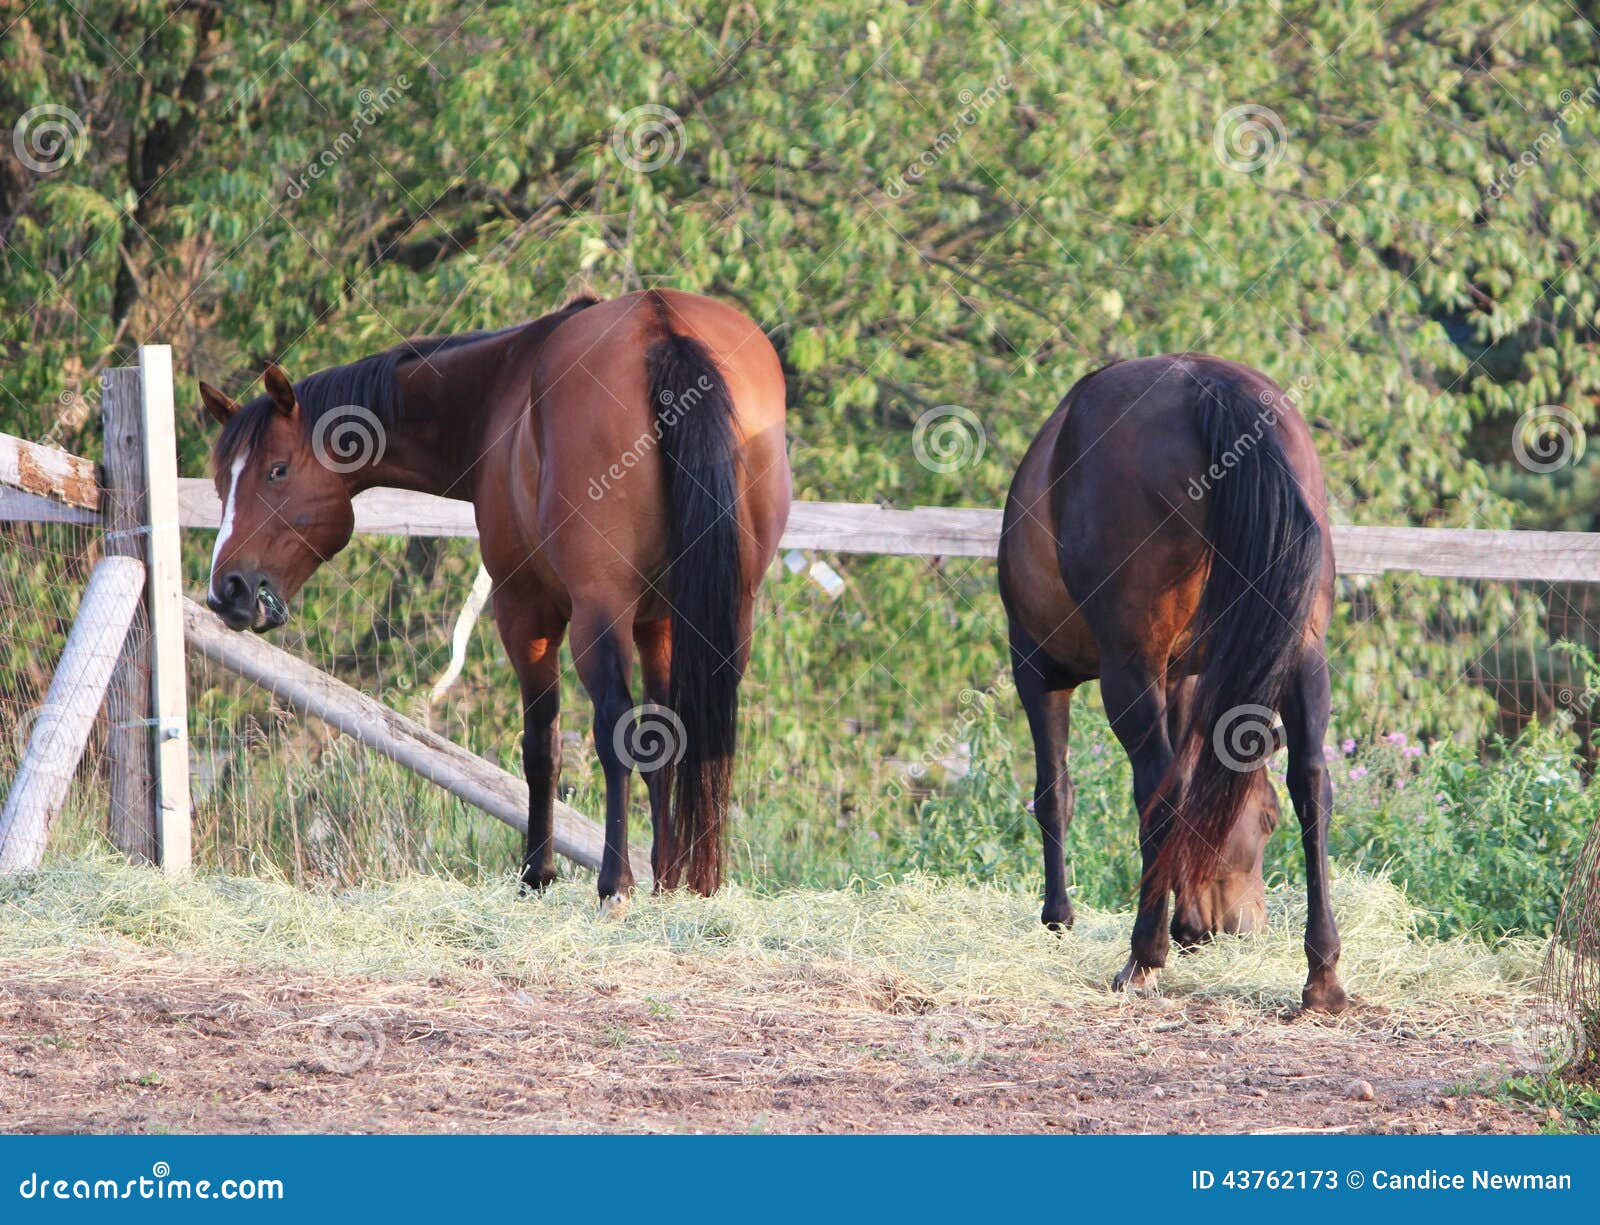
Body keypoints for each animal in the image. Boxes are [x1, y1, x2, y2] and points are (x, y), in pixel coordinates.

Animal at [198, 289, 792, 903]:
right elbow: (664, 744)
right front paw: (669, 880)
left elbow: (543, 746)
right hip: (725, 618)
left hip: (597, 616)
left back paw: (613, 883)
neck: (501, 388)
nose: (227, 589)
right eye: (221, 483)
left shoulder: (524, 611)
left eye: (277, 470)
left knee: (612, 727)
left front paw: (539, 874)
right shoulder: (661, 624)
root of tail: (661, 323)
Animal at [997, 354, 1345, 1013]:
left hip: (1128, 668)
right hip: (1305, 649)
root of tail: (1207, 384)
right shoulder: (1189, 674)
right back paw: (1323, 975)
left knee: (1157, 787)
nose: (1242, 926)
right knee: (1311, 781)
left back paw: (1143, 955)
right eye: (1265, 820)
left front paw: (1060, 919)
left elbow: (1054, 793)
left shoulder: (1037, 670)